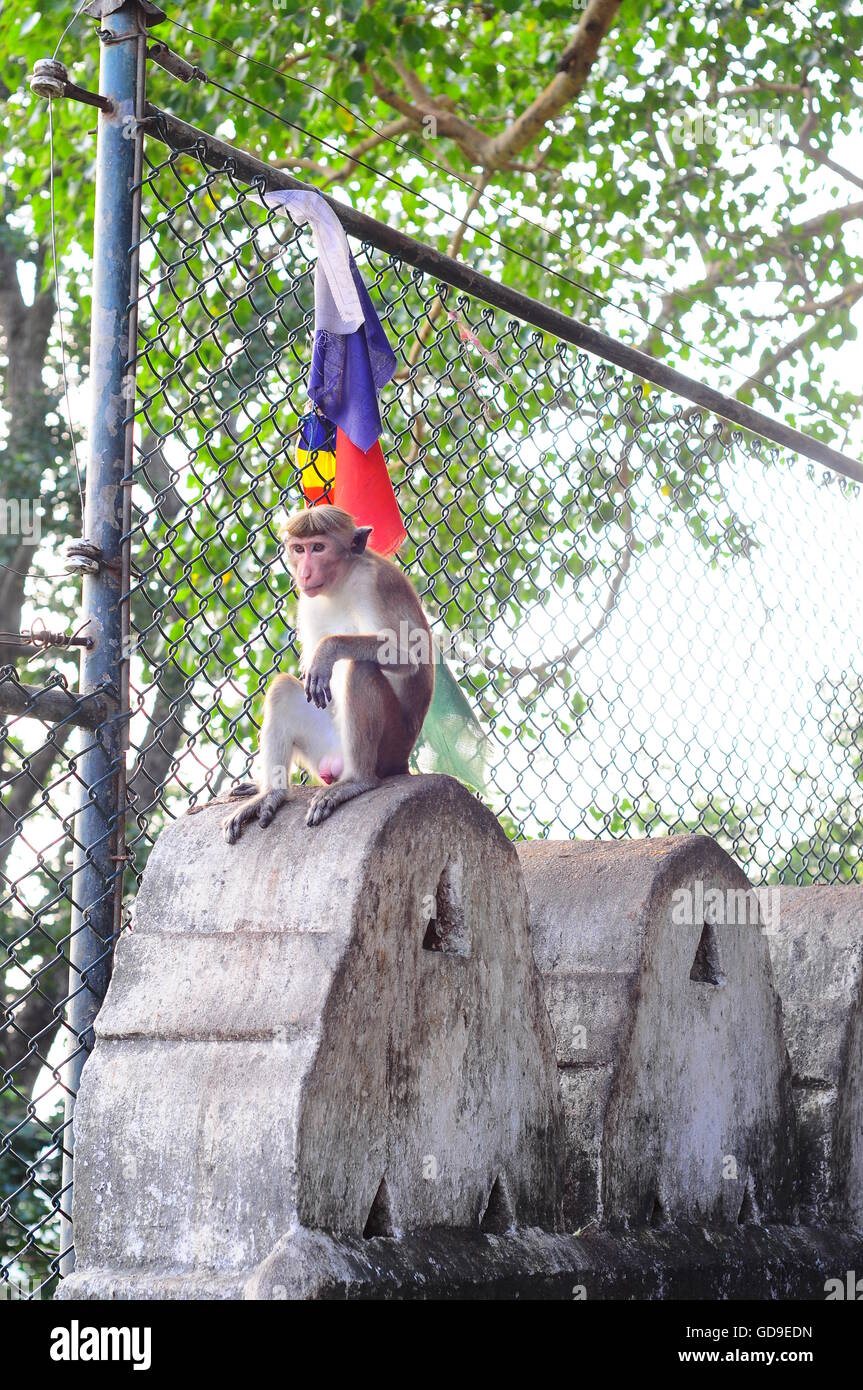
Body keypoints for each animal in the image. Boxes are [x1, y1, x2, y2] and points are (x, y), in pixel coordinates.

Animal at [221, 504, 435, 842]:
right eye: (299, 549)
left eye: (319, 548)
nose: (305, 572)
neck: (341, 581)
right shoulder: (308, 602)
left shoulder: (374, 584)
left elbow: (407, 655)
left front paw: (327, 650)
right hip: (327, 744)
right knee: (283, 689)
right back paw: (271, 793)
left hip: (390, 747)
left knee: (360, 668)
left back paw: (358, 781)